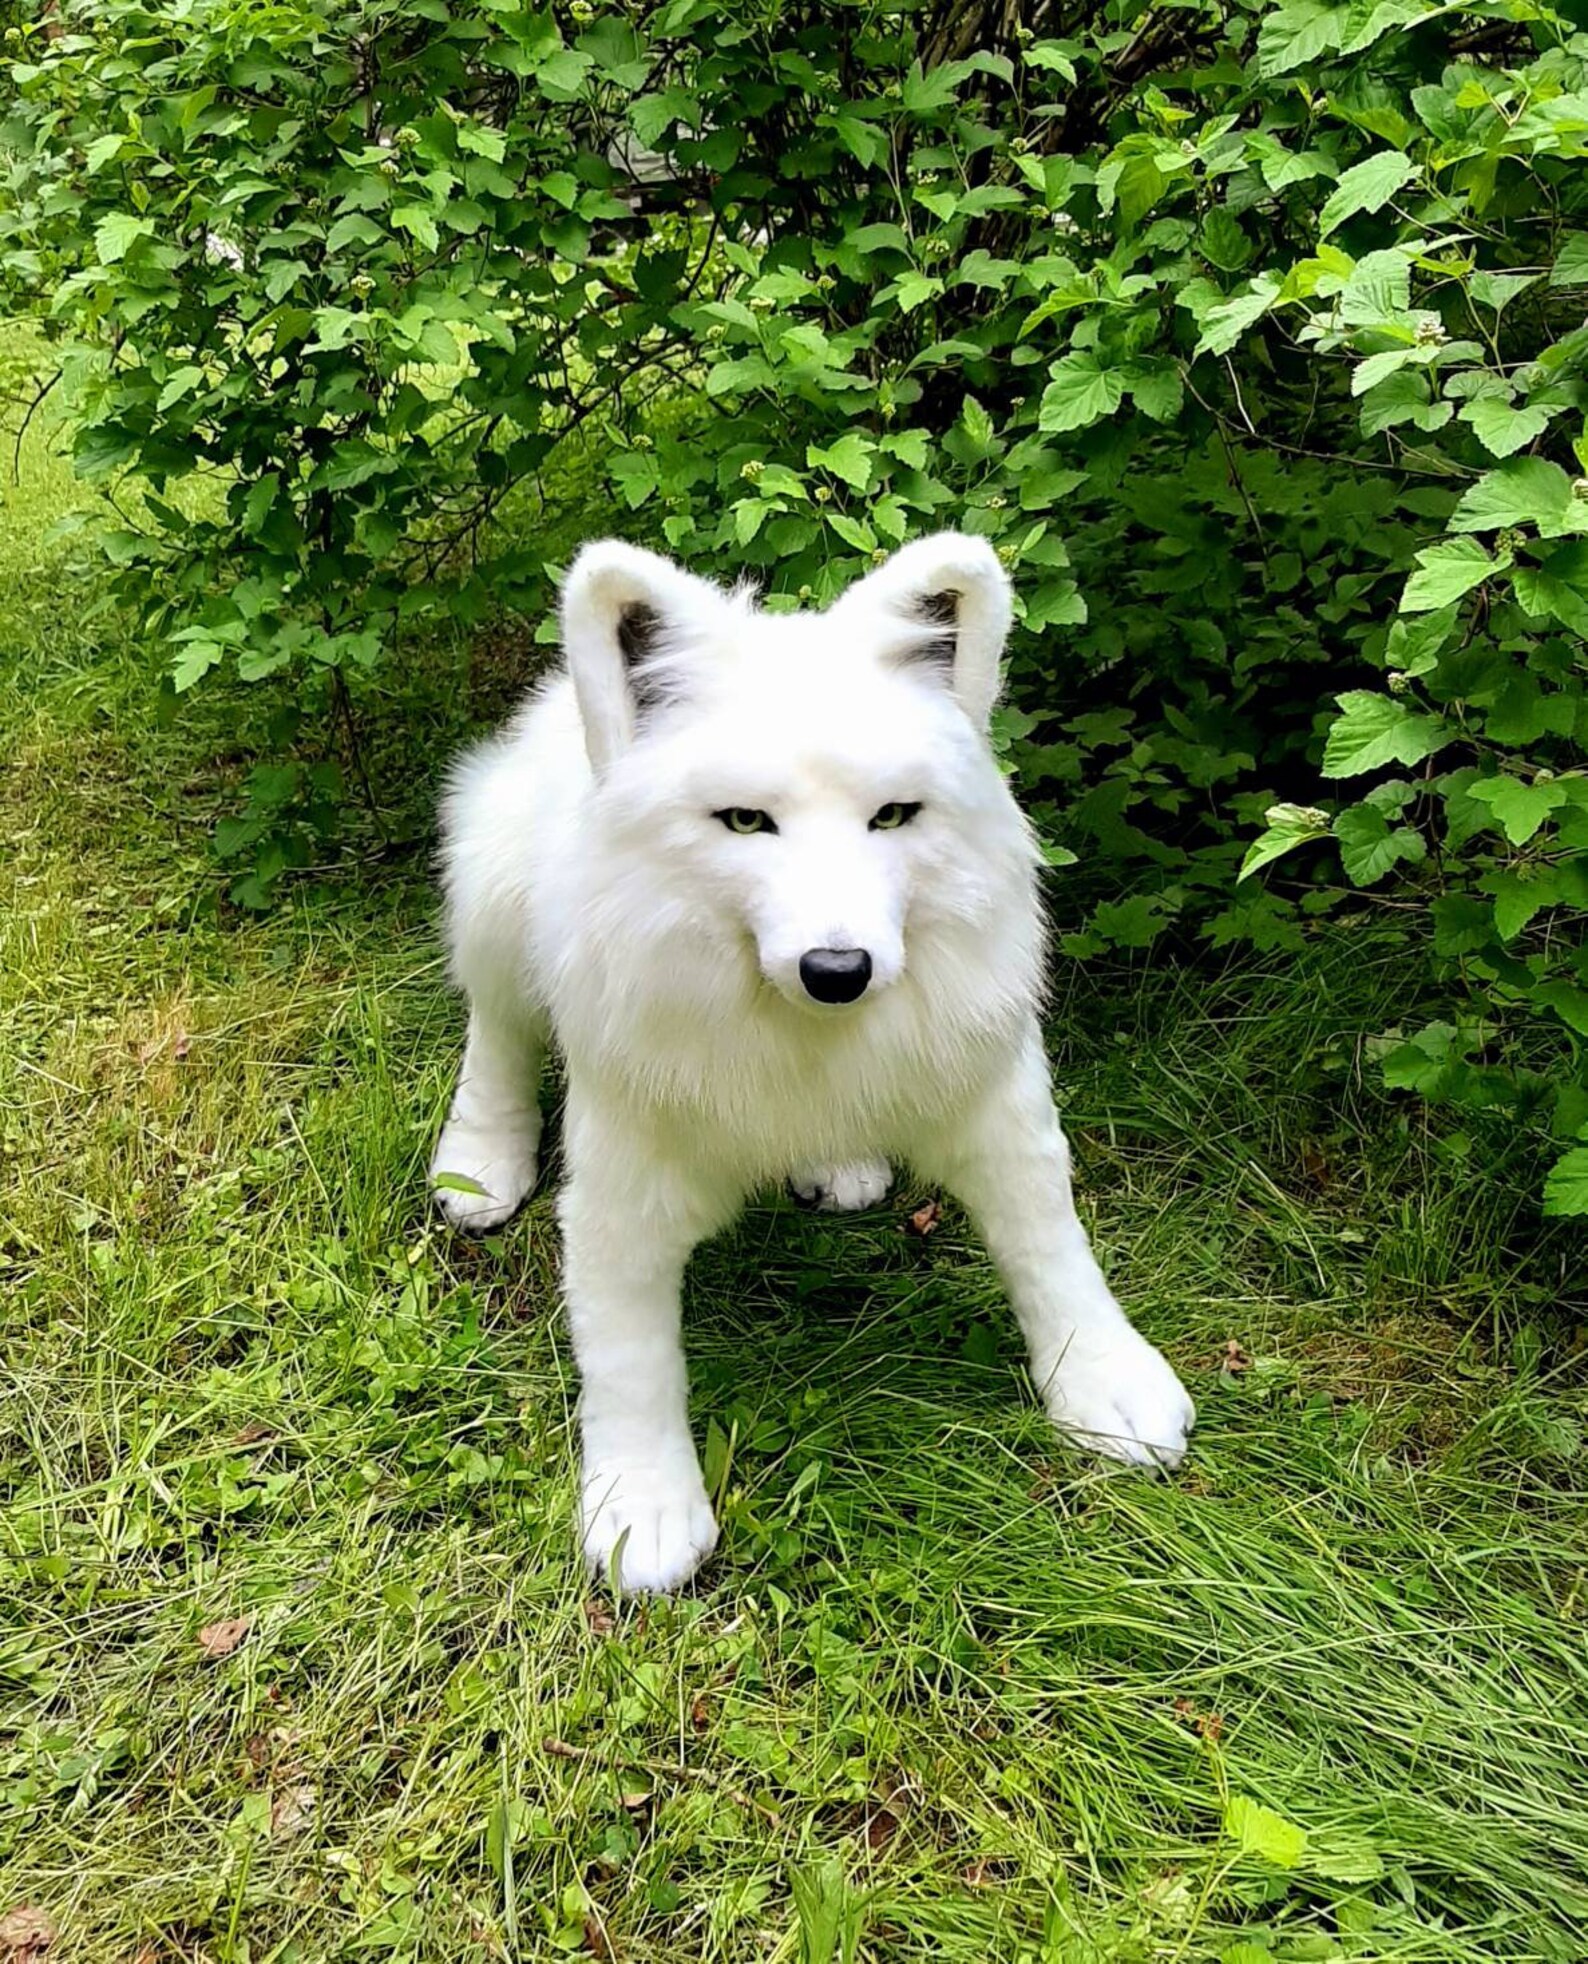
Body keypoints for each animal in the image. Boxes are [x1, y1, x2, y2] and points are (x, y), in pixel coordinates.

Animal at [431, 532, 1194, 1592]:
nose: (839, 972)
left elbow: (1051, 1248)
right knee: (495, 1030)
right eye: (746, 822)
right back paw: (479, 1161)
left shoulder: (998, 1109)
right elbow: (628, 1355)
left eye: (894, 817)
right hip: (495, 904)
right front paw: (643, 1503)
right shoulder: (622, 1193)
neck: (798, 1038)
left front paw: (1102, 1380)